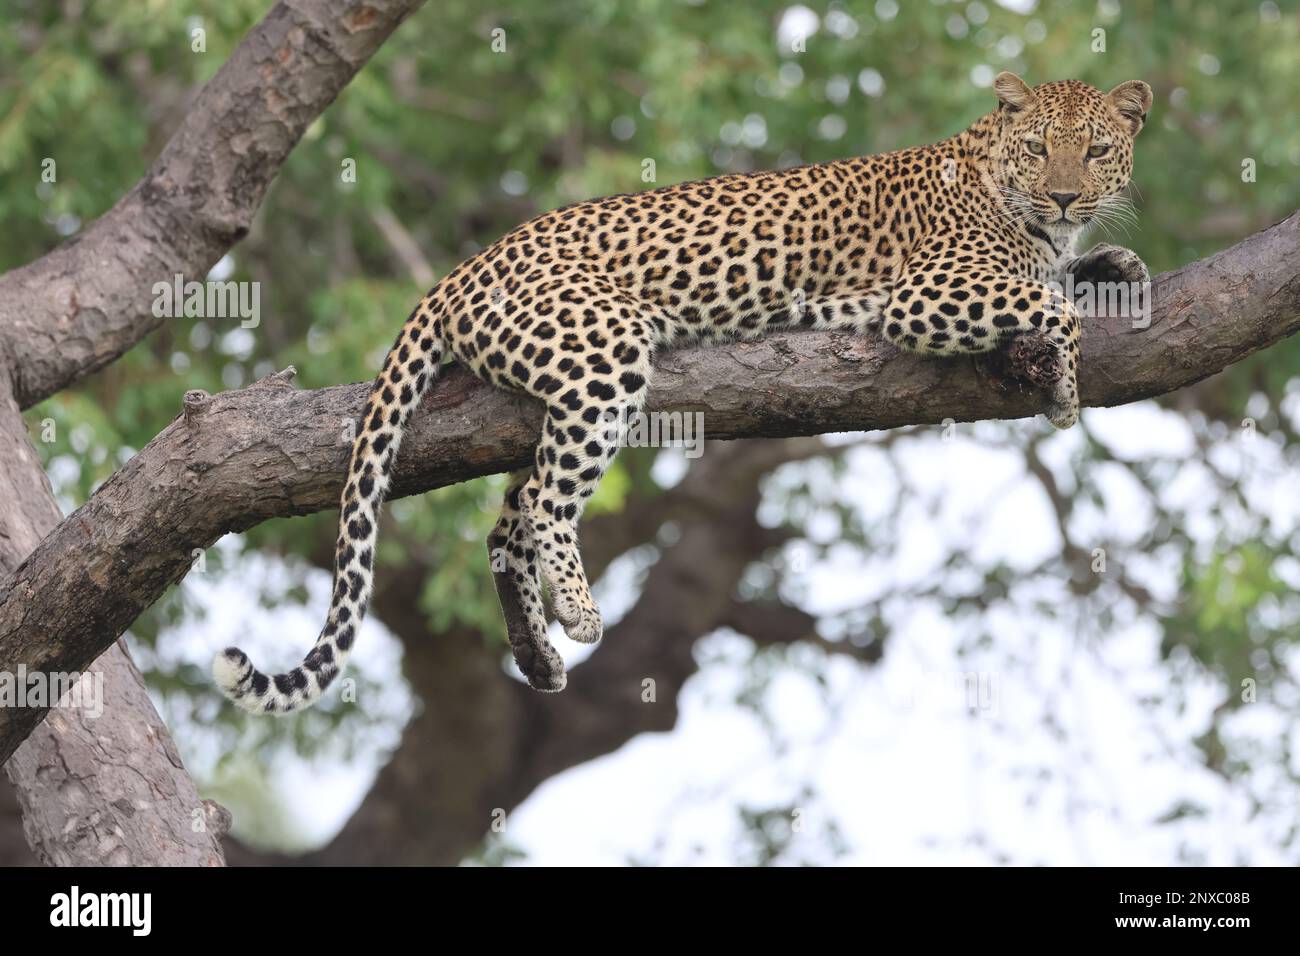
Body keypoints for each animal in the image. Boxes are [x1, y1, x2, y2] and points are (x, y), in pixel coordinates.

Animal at [213, 73, 1153, 713]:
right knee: (546, 501)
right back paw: (580, 612)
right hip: (601, 353)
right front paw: (1064, 387)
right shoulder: (927, 296)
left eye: (1097, 150)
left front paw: (1116, 263)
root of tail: (462, 269)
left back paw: (537, 653)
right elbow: (1052, 309)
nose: (1064, 195)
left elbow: (1076, 276)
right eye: (1039, 148)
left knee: (507, 516)